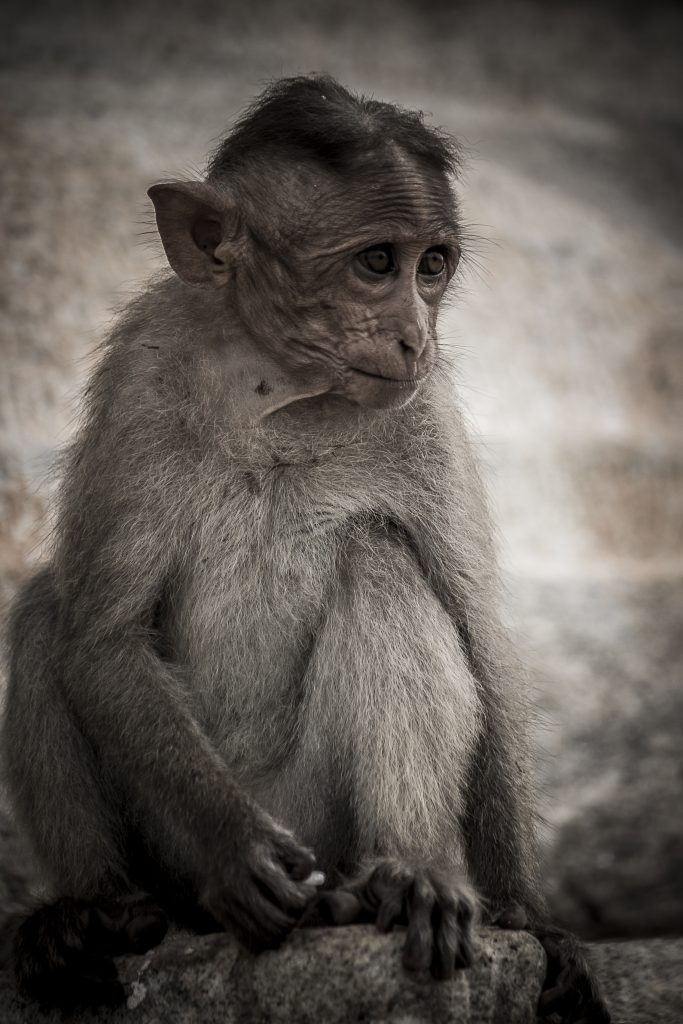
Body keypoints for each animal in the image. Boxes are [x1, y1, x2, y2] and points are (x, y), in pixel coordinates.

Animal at [2, 75, 609, 1021]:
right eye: (376, 262)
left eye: (431, 265)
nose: (414, 334)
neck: (279, 391)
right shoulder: (141, 372)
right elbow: (102, 636)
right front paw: (235, 852)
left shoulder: (424, 417)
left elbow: (481, 639)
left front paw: (533, 923)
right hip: (174, 848)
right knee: (47, 610)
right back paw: (96, 914)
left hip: (321, 820)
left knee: (380, 560)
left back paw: (403, 879)